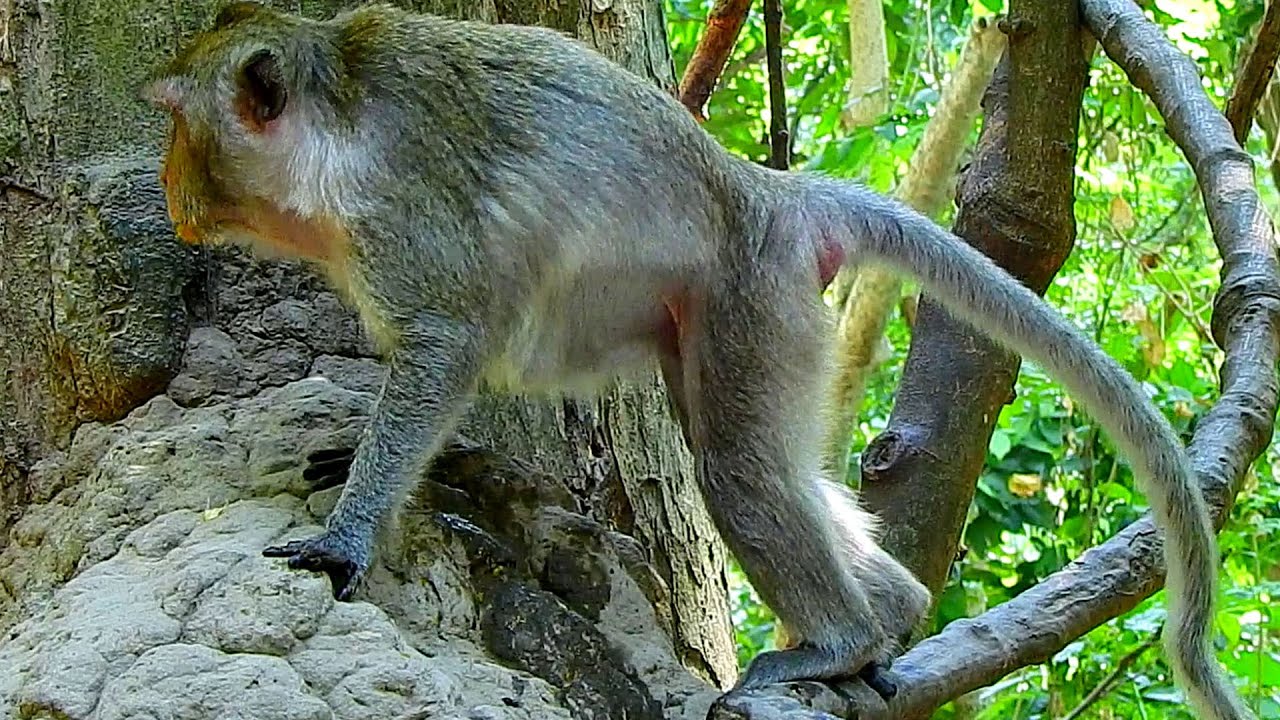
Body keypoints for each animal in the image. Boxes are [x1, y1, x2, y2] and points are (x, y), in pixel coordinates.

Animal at [142, 4, 1251, 718]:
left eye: (178, 121)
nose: (166, 193)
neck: (335, 123)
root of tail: (764, 192)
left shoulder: (403, 222)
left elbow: (448, 349)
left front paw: (348, 536)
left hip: (752, 301)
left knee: (740, 469)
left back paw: (842, 638)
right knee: (769, 462)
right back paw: (890, 611)